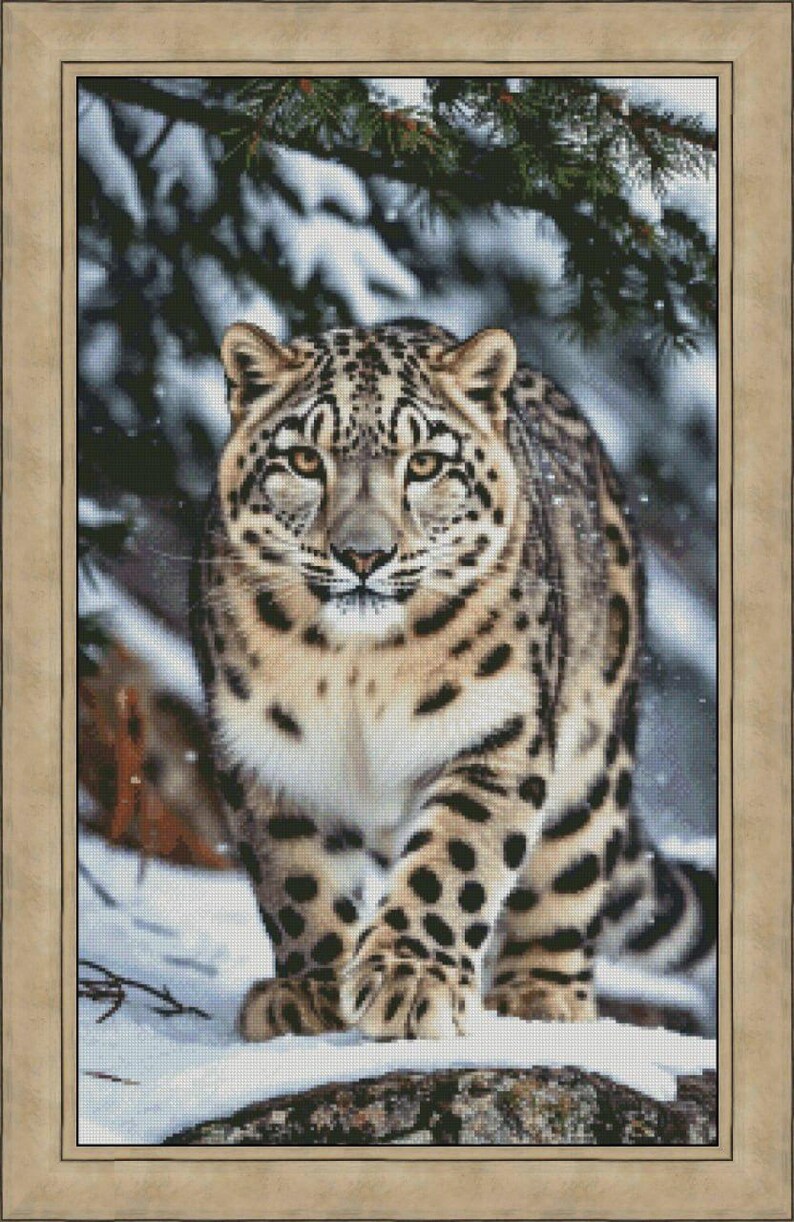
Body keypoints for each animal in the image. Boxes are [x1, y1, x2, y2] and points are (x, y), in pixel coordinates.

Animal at [191, 318, 716, 1042]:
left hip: (592, 759)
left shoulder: (496, 734)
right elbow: (297, 880)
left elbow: (455, 859)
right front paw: (310, 993)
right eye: (303, 460)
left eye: (424, 464)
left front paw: (410, 983)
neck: (358, 670)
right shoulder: (268, 751)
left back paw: (542, 996)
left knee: (571, 868)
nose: (363, 555)